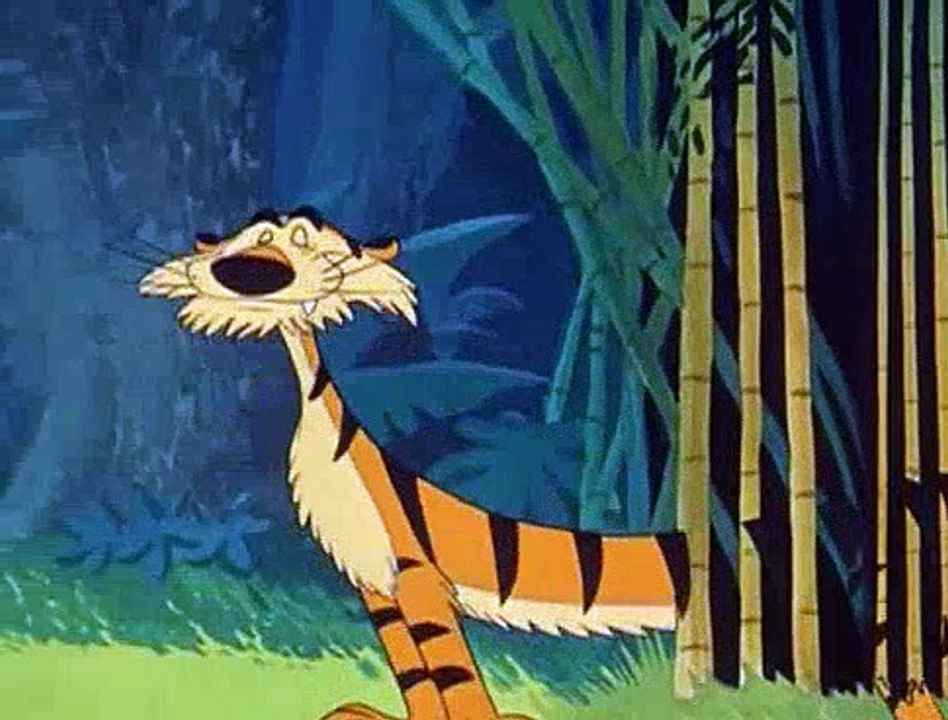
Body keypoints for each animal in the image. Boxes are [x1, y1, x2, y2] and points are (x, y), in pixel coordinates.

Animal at [138, 208, 689, 720]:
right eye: (258, 236)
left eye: (302, 238)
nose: (249, 269)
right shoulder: (373, 579)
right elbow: (409, 665)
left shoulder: (415, 571)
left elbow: (448, 663)